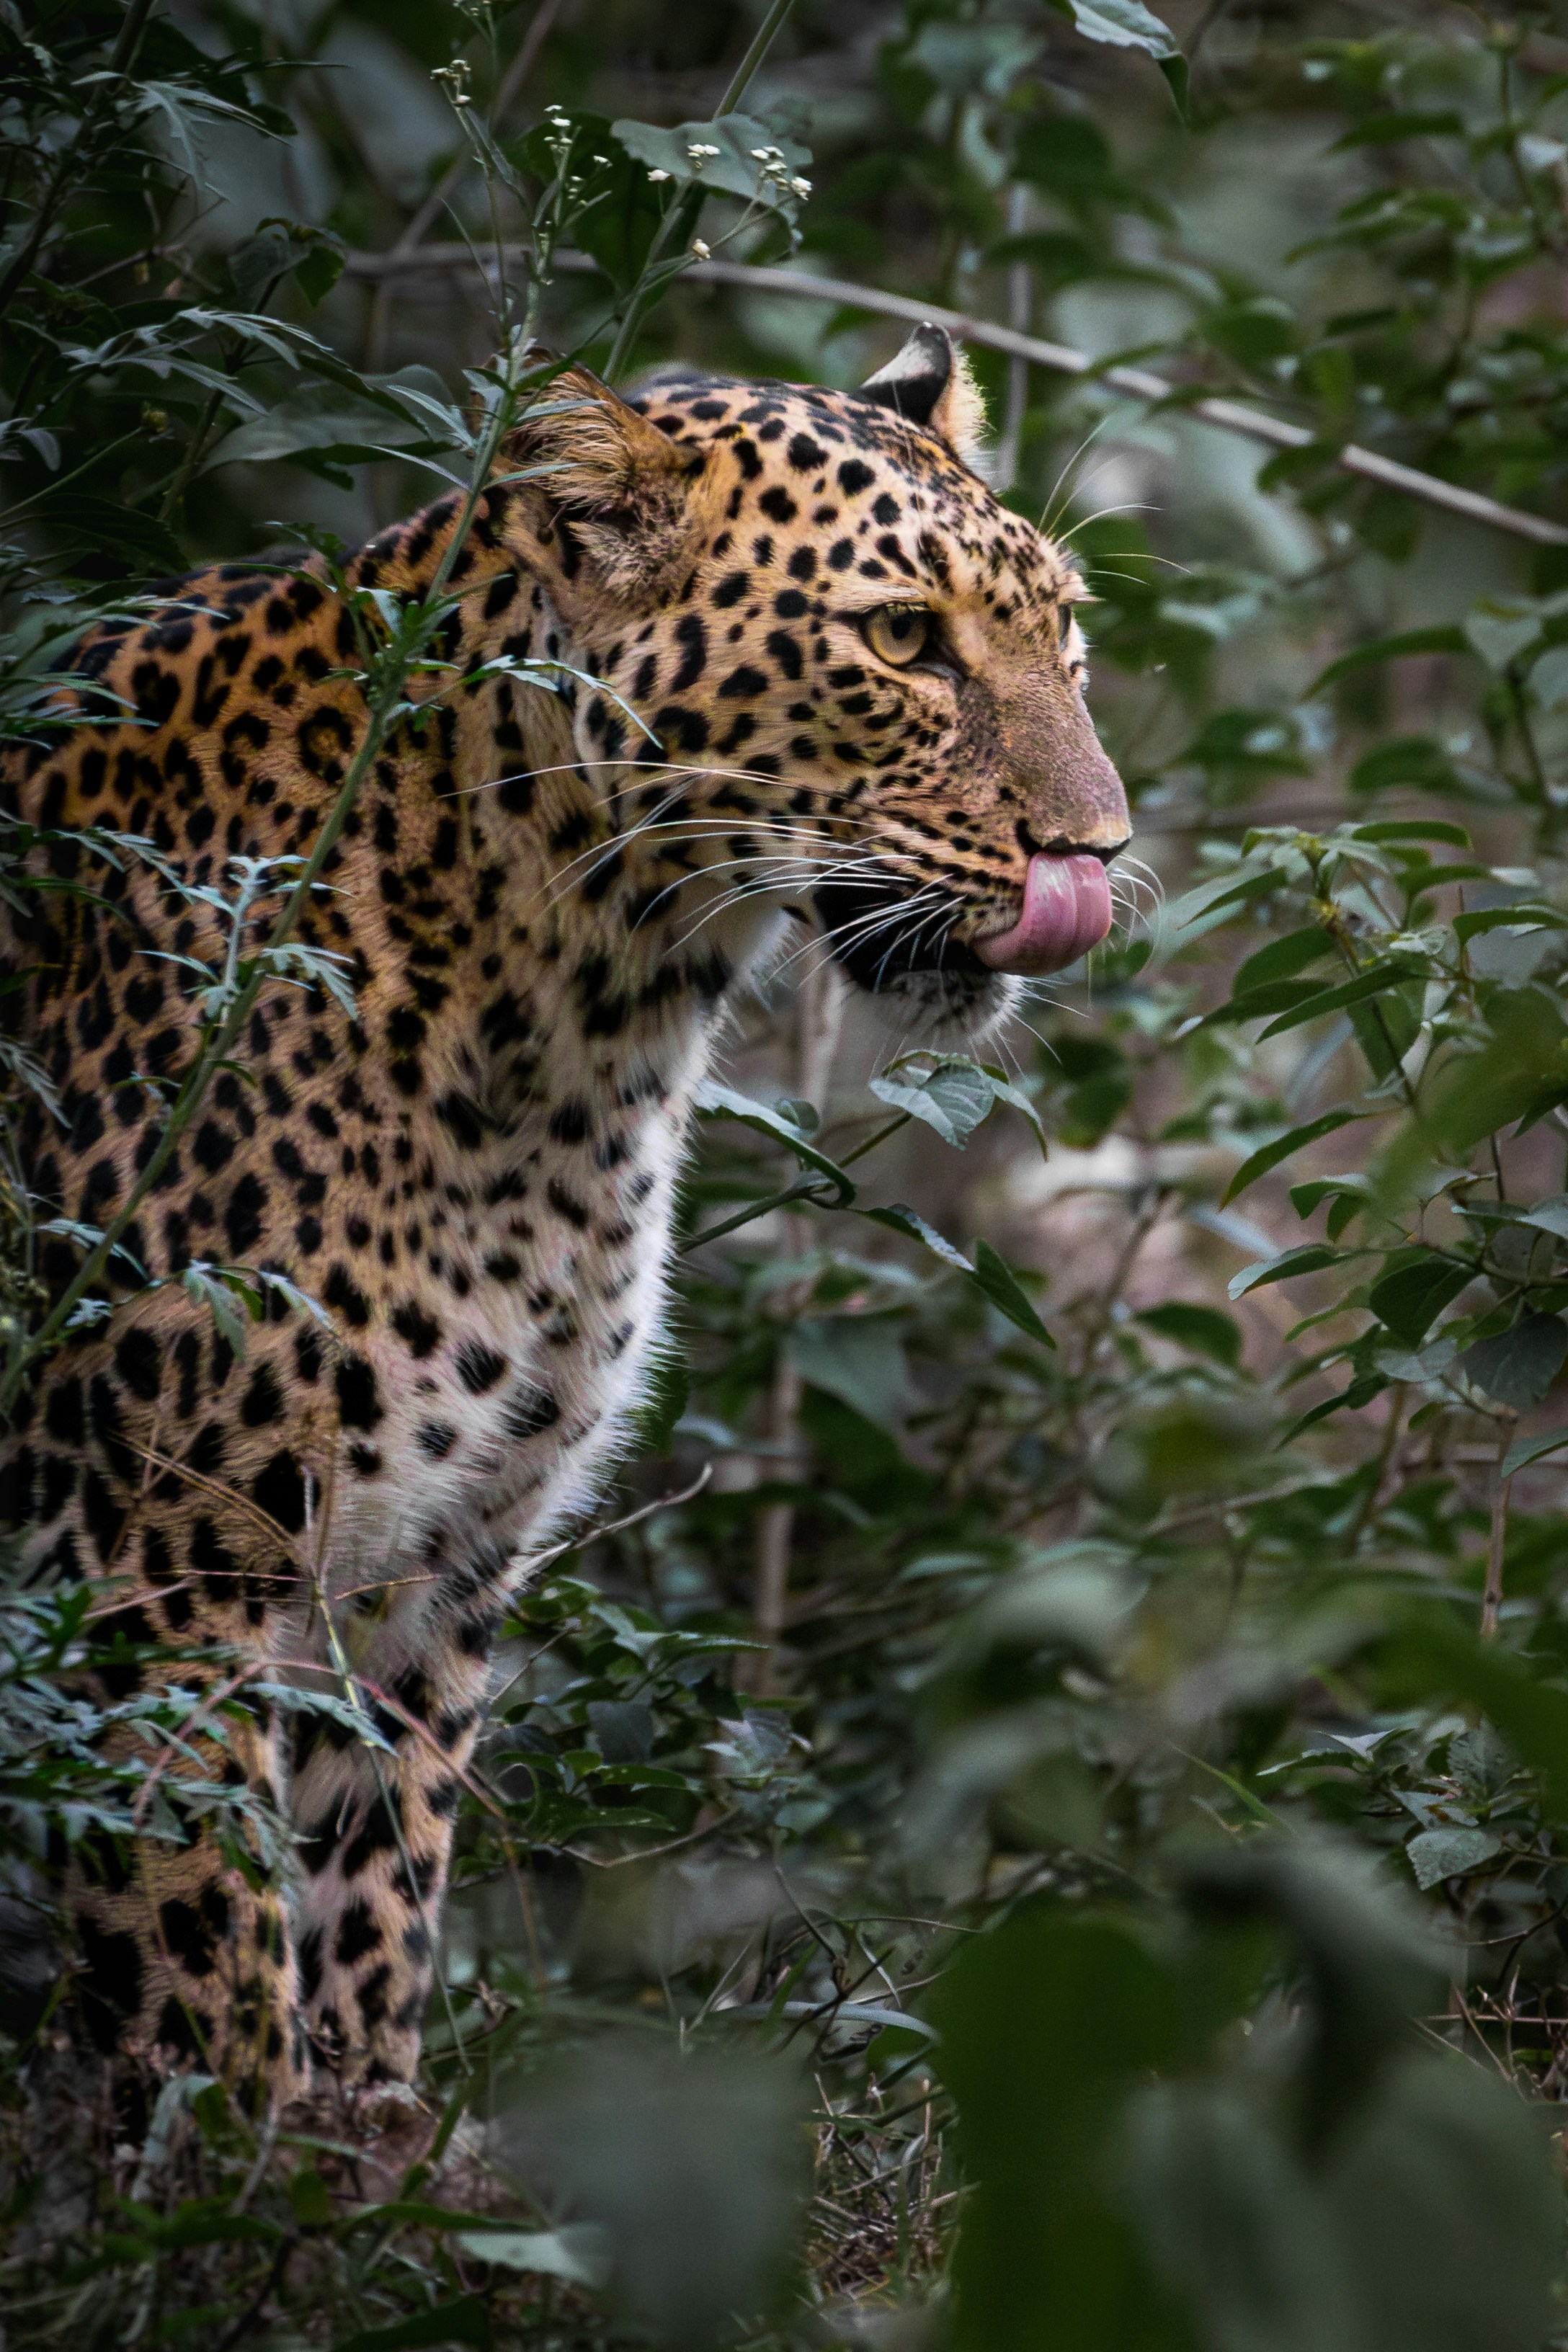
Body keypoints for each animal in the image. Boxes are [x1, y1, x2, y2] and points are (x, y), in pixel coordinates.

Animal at [0, 324, 1129, 2111]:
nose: (1099, 851)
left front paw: (364, 2166)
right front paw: (223, 2175)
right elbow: (209, 1993)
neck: (586, 1021)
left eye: (1063, 631)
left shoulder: (436, 1577)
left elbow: (370, 1922)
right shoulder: (152, 1583)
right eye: (900, 638)